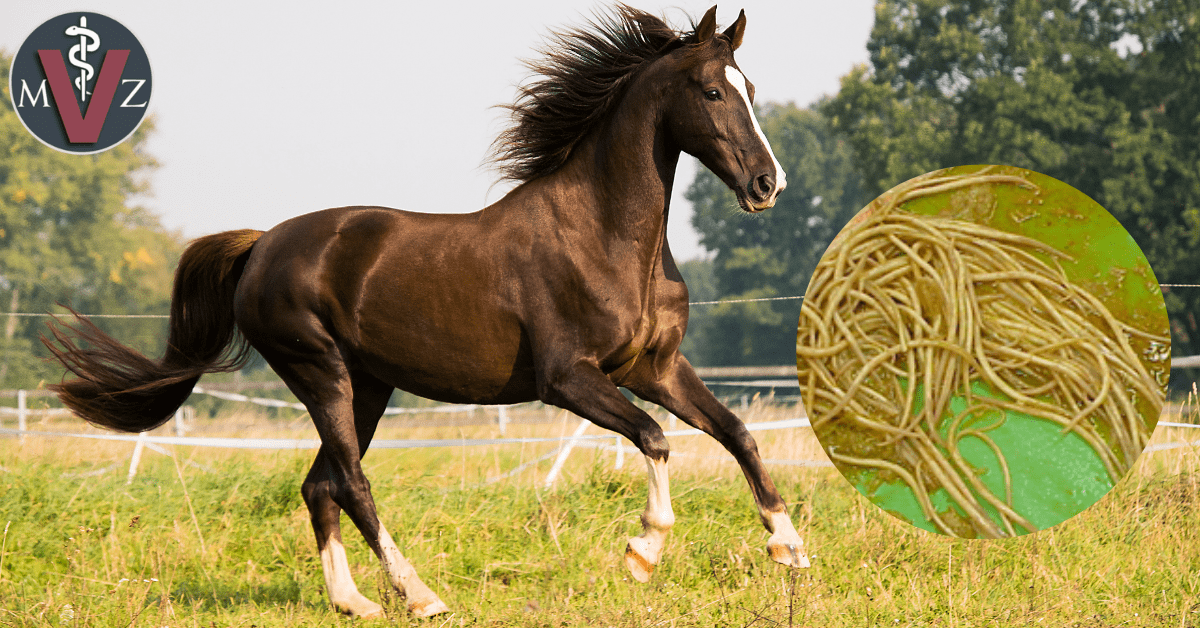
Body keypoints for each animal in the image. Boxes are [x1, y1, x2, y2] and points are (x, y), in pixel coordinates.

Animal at [44, 5, 809, 619]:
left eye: (750, 89)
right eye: (712, 90)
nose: (768, 185)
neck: (604, 238)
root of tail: (261, 245)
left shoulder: (655, 368)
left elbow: (737, 432)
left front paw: (790, 546)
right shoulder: (568, 379)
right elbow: (654, 438)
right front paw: (643, 551)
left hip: (368, 385)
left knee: (319, 484)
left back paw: (353, 602)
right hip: (320, 372)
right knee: (351, 482)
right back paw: (420, 595)